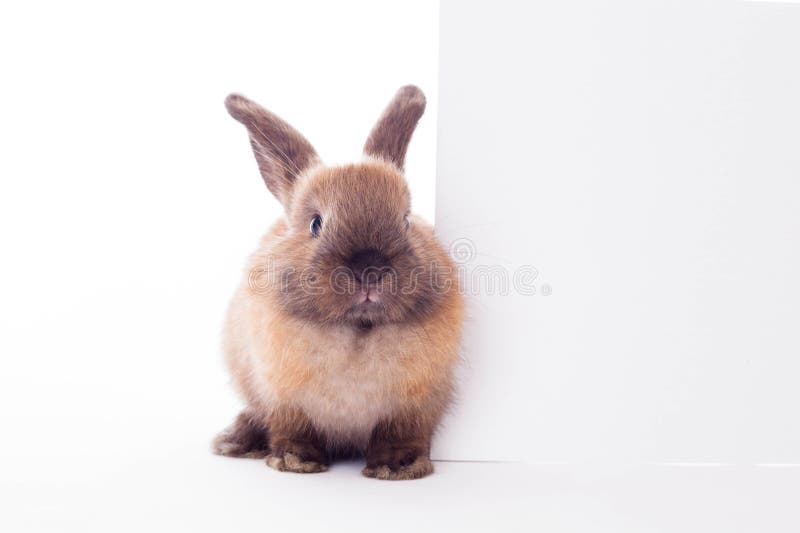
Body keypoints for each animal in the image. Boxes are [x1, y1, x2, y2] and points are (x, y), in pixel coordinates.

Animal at [212, 86, 464, 480]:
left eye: (406, 220)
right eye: (316, 223)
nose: (369, 270)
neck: (357, 330)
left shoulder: (414, 407)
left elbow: (401, 435)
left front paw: (397, 467)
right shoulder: (284, 400)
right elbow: (291, 430)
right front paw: (296, 461)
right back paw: (234, 442)